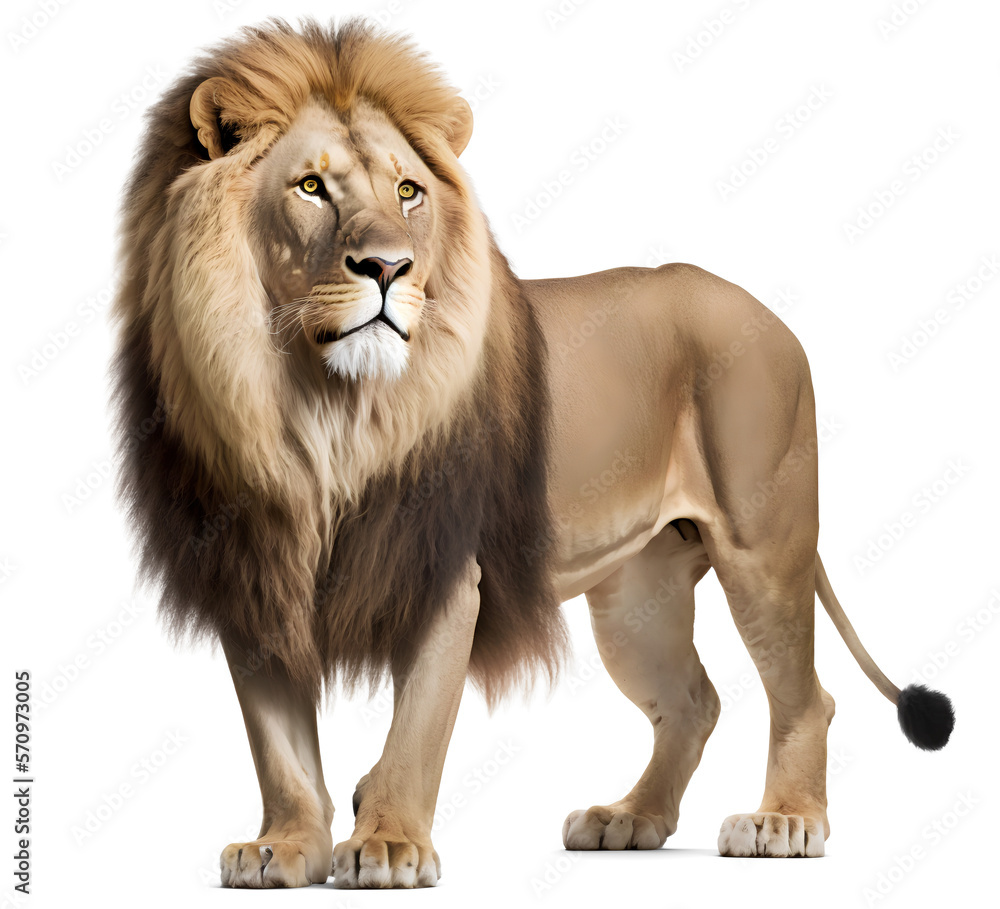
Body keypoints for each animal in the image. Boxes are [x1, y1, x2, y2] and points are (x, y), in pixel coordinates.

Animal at [111, 18, 955, 889]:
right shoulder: (251, 572)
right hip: (638, 596)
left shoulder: (446, 566)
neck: (320, 412)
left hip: (763, 546)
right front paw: (283, 846)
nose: (388, 267)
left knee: (805, 695)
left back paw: (786, 819)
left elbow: (417, 725)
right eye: (311, 187)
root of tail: (771, 314)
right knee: (694, 700)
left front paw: (389, 843)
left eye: (407, 192)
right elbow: (278, 746)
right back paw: (630, 817)